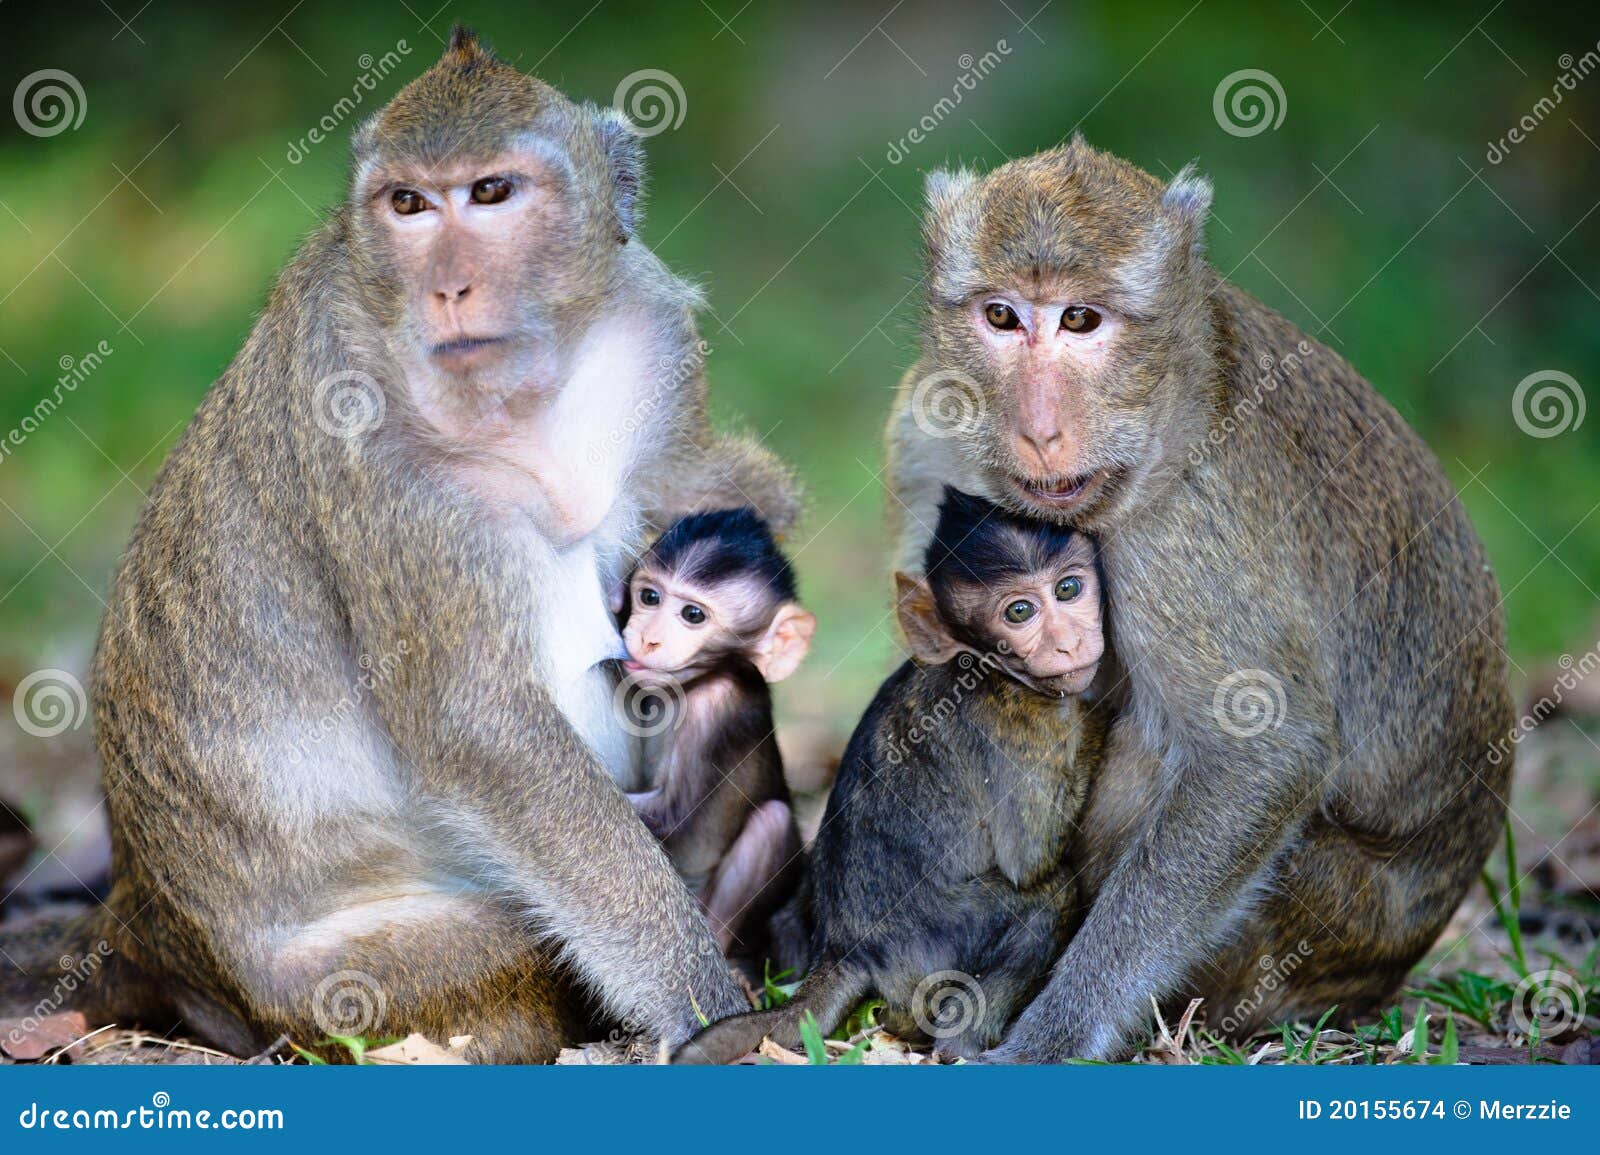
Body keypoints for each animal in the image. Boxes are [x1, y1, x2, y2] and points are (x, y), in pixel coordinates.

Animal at [616, 507, 815, 970]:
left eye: (693, 615)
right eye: (649, 597)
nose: (648, 638)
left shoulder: (713, 709)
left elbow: (672, 814)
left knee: (771, 822)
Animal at [675, 487, 1110, 1064]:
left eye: (1068, 588)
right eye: (1020, 611)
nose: (1068, 643)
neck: (982, 663)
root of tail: (844, 947)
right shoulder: (1018, 717)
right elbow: (1030, 858)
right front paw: (1099, 715)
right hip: (933, 943)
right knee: (1049, 898)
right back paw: (960, 1043)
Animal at [883, 137, 1513, 1061]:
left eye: (1081, 320)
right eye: (1001, 316)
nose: (1039, 428)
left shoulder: (1182, 537)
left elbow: (1262, 748)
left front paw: (1049, 1040)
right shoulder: (923, 429)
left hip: (1313, 927)